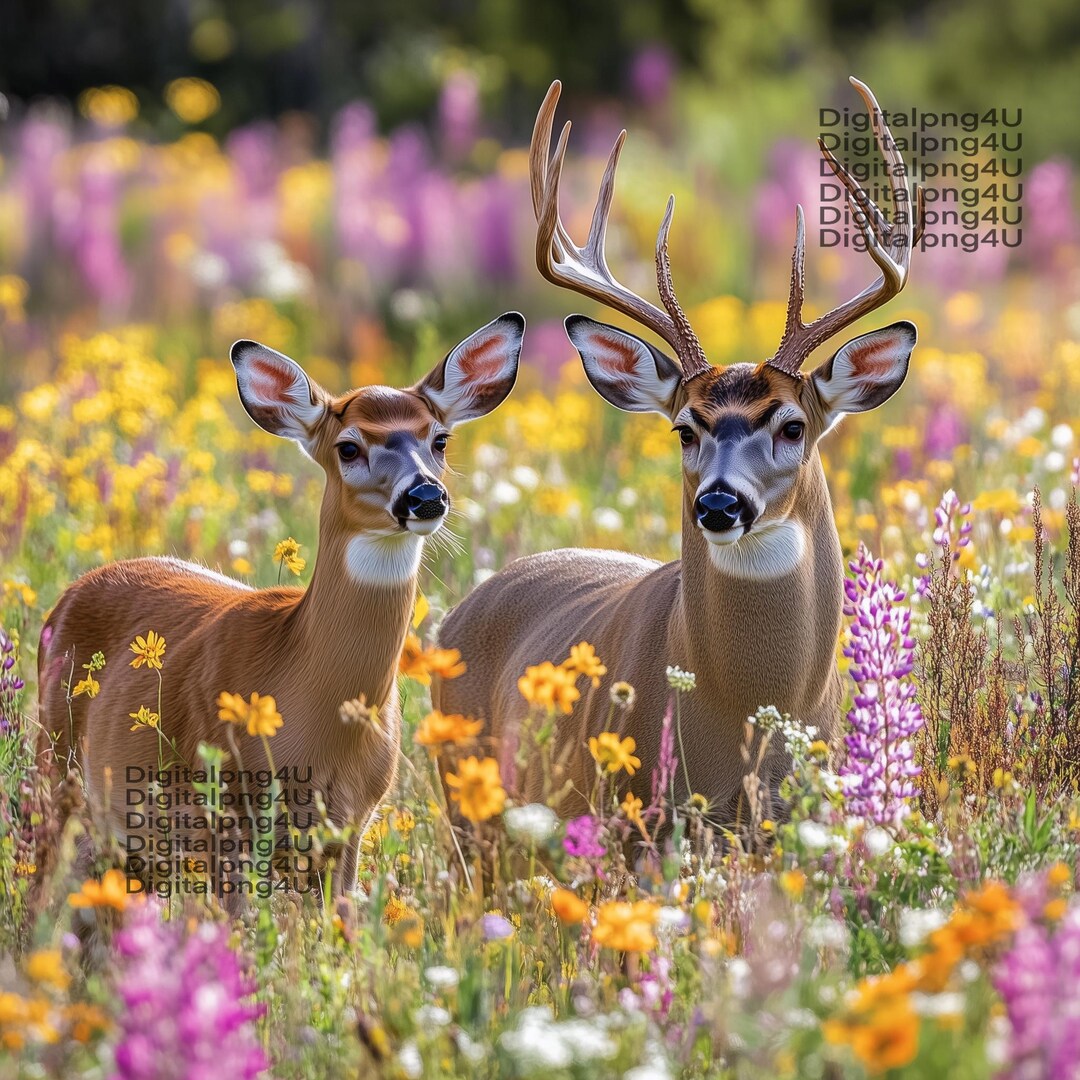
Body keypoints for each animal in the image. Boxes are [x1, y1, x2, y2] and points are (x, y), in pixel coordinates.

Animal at [35, 313, 524, 904]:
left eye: (441, 440)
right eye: (348, 447)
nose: (425, 497)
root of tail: (69, 593)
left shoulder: (353, 823)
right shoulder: (223, 815)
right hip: (56, 767)